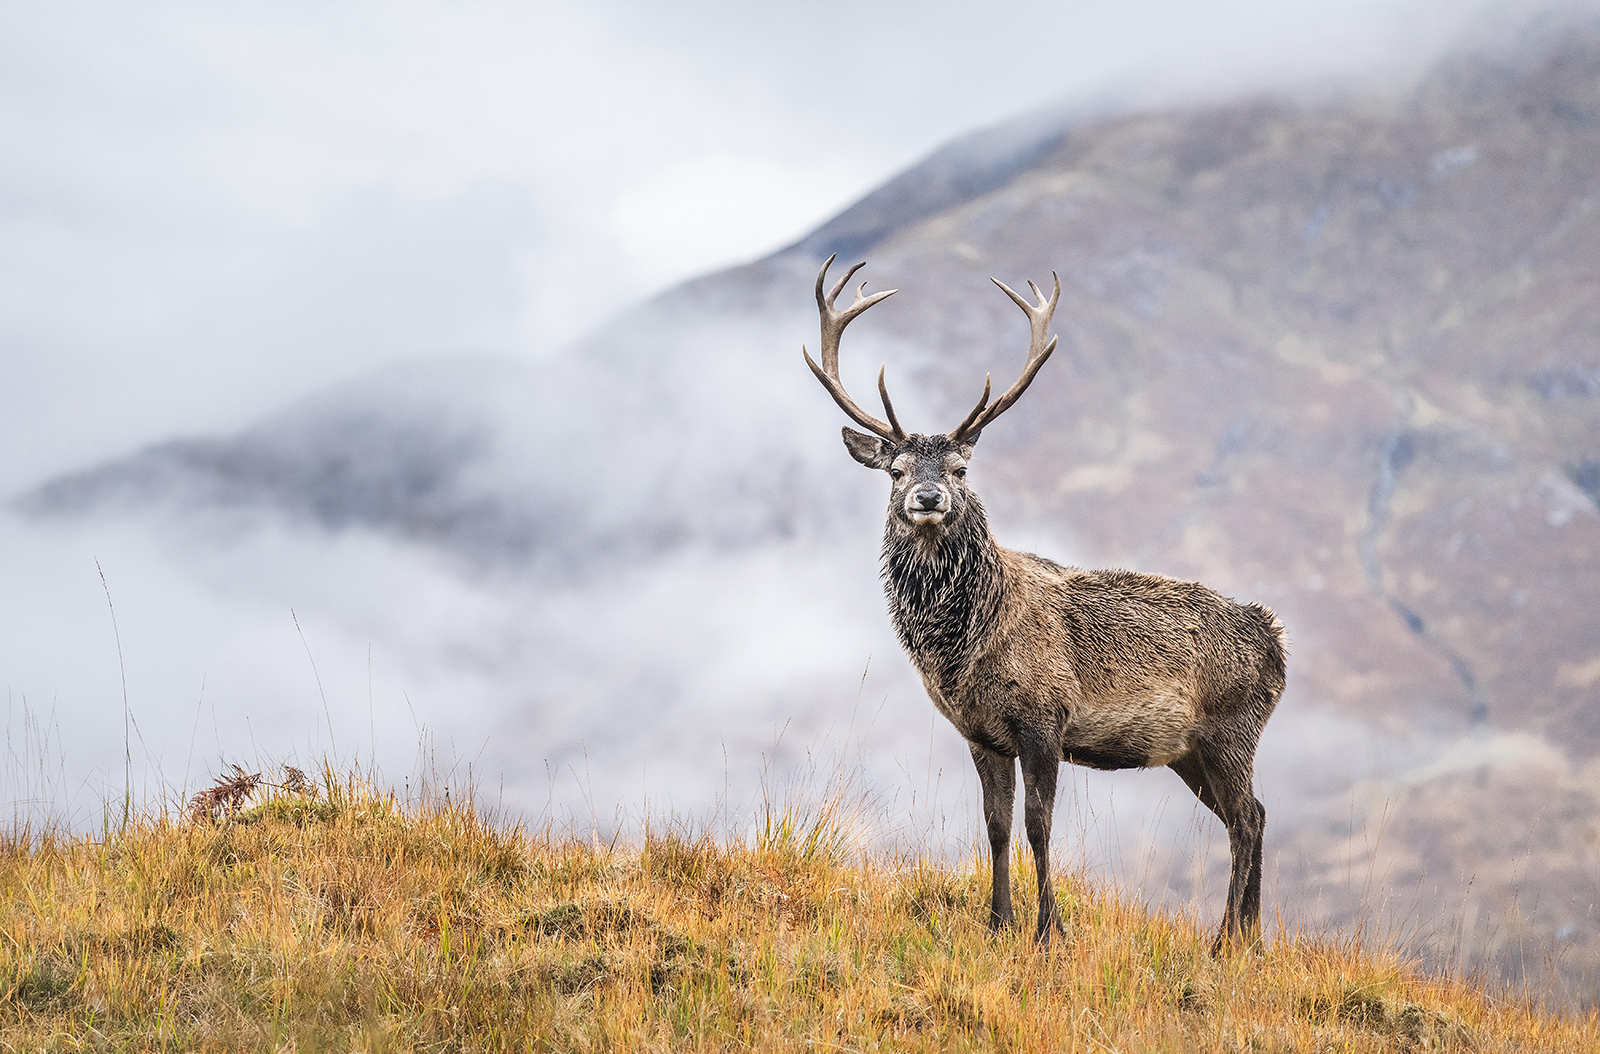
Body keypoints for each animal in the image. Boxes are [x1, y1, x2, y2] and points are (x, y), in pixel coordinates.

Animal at [803, 256, 1287, 952]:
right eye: (895, 471)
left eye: (960, 469)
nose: (927, 497)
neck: (964, 648)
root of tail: (1278, 645)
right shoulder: (980, 734)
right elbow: (996, 825)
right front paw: (999, 923)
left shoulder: (1044, 720)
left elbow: (1038, 823)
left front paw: (1047, 930)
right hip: (1190, 752)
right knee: (1254, 814)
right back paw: (1249, 938)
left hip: (1230, 730)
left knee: (1246, 818)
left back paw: (1225, 941)